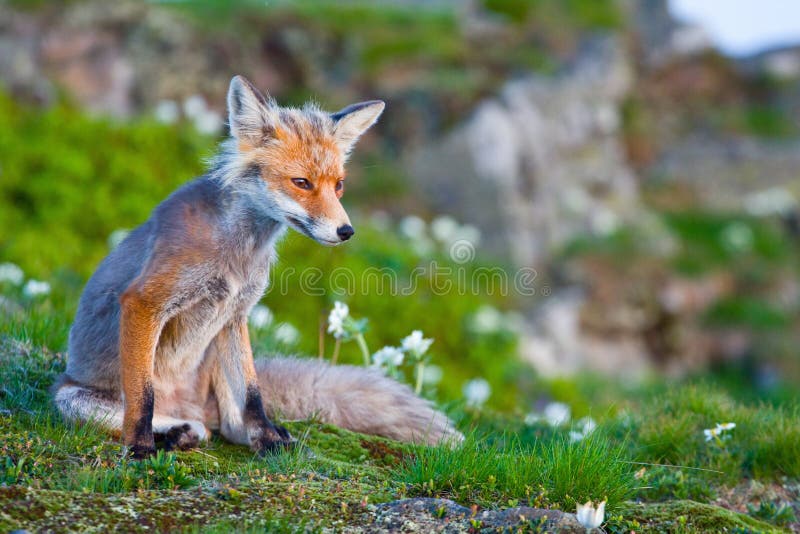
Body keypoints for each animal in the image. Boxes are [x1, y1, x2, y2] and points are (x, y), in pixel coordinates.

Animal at [53, 75, 461, 458]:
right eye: (302, 182)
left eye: (339, 185)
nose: (346, 231)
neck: (237, 254)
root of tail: (192, 408)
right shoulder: (145, 301)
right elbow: (142, 397)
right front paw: (139, 448)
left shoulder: (236, 313)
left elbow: (252, 396)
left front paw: (268, 441)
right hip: (68, 397)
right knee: (157, 416)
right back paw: (173, 432)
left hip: (216, 349)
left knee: (229, 425)